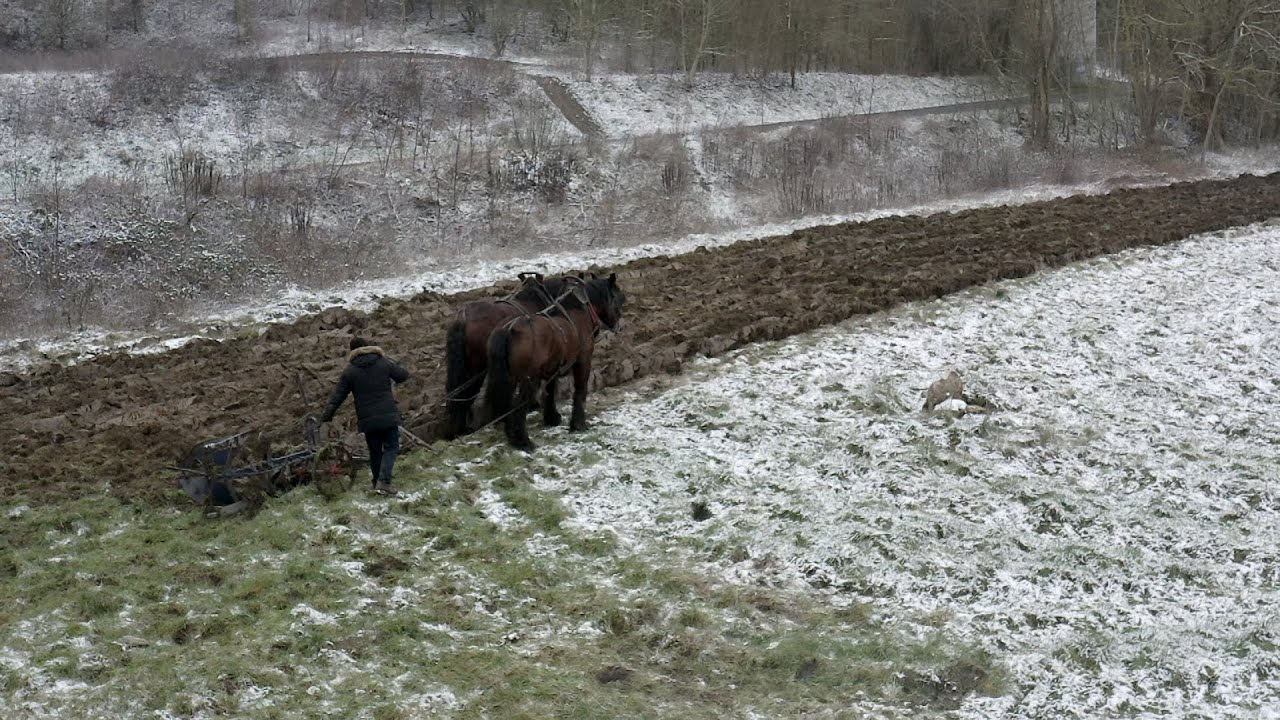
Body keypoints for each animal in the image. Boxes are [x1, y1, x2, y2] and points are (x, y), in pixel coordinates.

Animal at [484, 273, 625, 452]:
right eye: (618, 299)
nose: (619, 327)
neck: (579, 311)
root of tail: (509, 329)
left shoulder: (552, 368)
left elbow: (550, 392)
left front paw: (552, 418)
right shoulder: (583, 361)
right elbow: (580, 391)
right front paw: (578, 425)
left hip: (509, 378)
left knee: (508, 405)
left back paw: (512, 438)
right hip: (529, 380)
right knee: (519, 406)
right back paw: (524, 442)